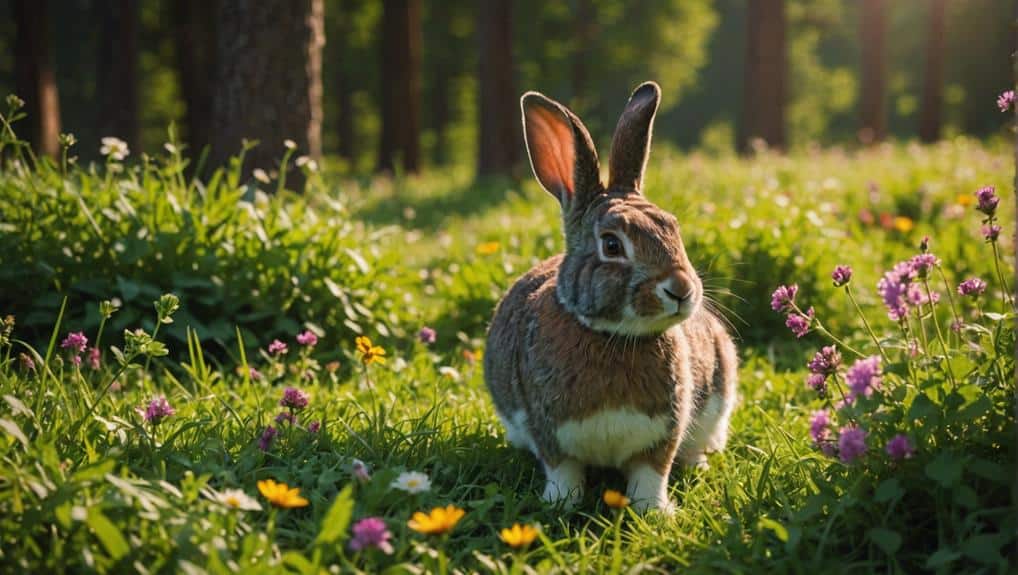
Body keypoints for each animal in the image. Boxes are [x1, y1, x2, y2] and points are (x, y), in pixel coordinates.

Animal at [483, 81, 738, 513]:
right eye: (612, 245)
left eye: (672, 228)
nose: (681, 289)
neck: (613, 335)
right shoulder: (550, 435)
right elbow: (563, 473)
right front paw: (560, 505)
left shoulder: (662, 437)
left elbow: (651, 475)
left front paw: (656, 513)